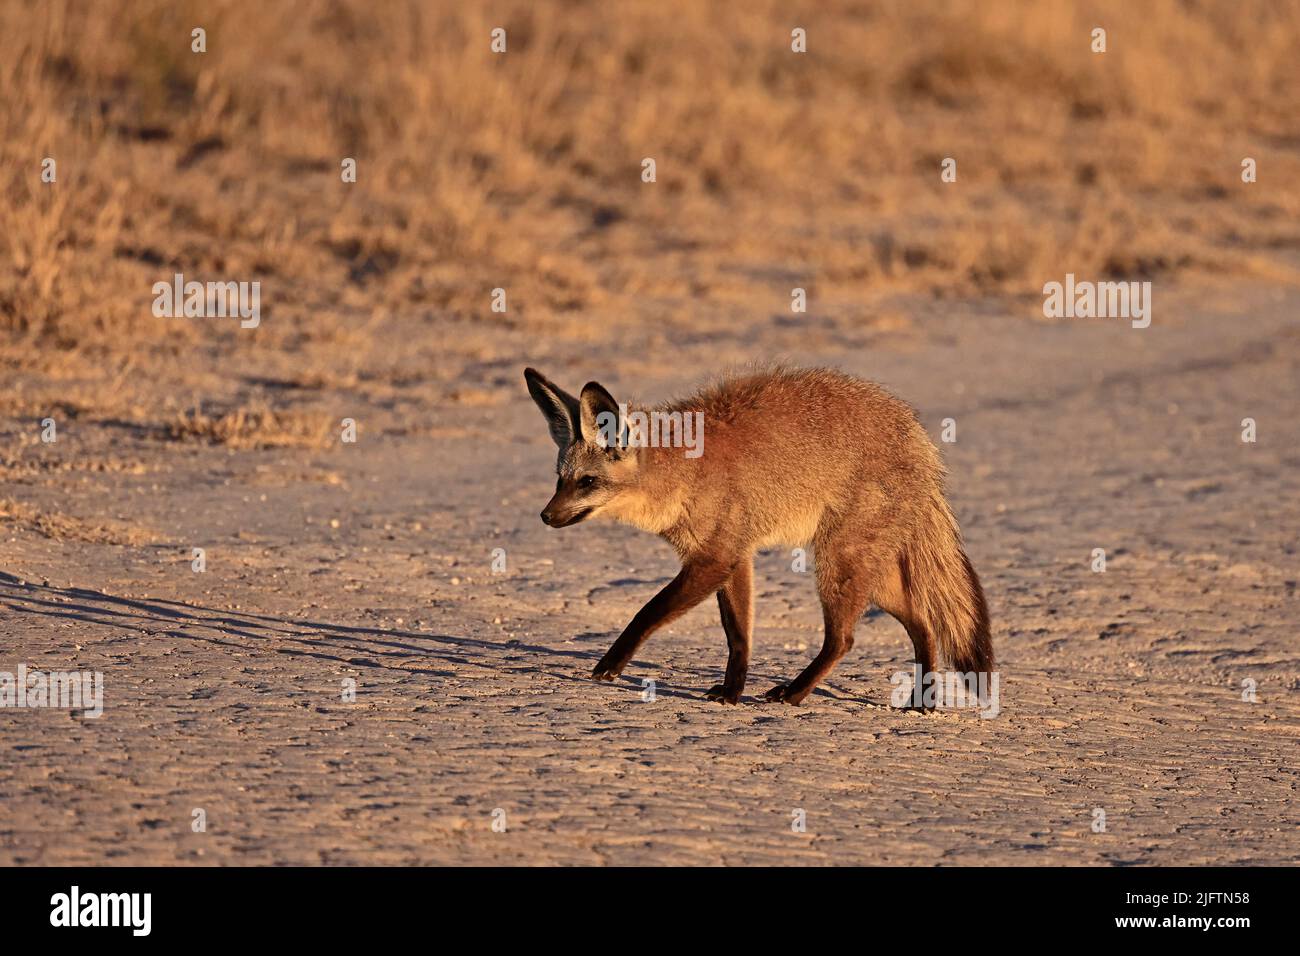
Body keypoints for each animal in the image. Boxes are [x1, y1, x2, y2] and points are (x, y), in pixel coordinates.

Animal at [524, 364, 992, 706]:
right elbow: (739, 638)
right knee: (923, 623)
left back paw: (795, 693)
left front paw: (611, 665)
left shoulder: (714, 559)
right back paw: (921, 702)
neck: (683, 474)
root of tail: (920, 441)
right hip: (868, 576)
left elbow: (647, 612)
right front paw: (731, 693)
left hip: (837, 564)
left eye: (587, 482)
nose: (545, 516)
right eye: (560, 480)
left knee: (844, 639)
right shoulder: (734, 558)